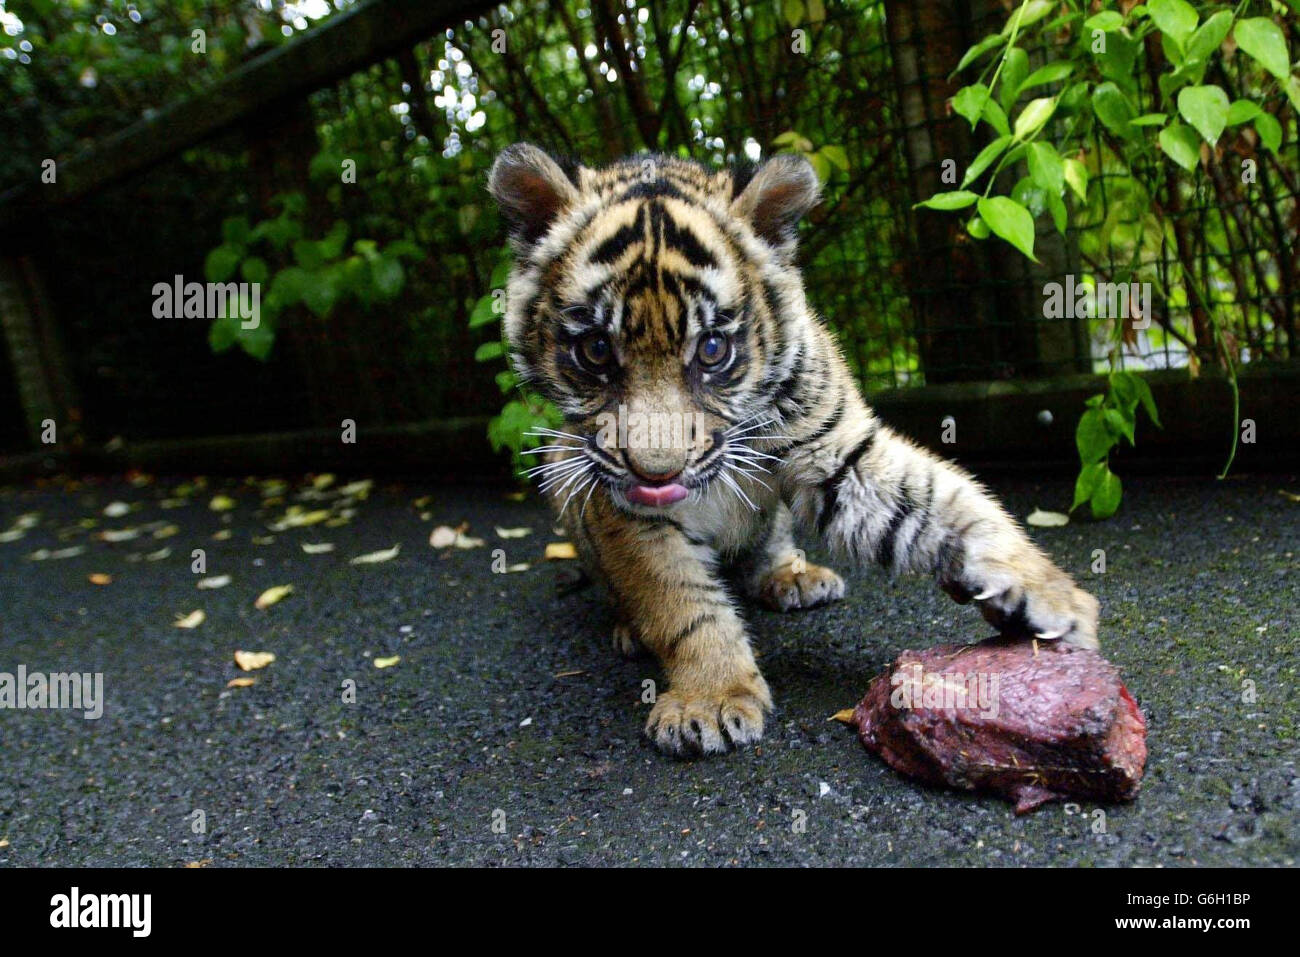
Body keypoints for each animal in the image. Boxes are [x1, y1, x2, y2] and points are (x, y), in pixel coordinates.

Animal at [488, 143, 1099, 757]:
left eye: (712, 349)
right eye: (595, 350)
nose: (656, 474)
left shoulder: (837, 451)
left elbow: (945, 503)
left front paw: (1058, 600)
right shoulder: (621, 504)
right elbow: (680, 601)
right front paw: (710, 697)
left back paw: (793, 577)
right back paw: (629, 628)